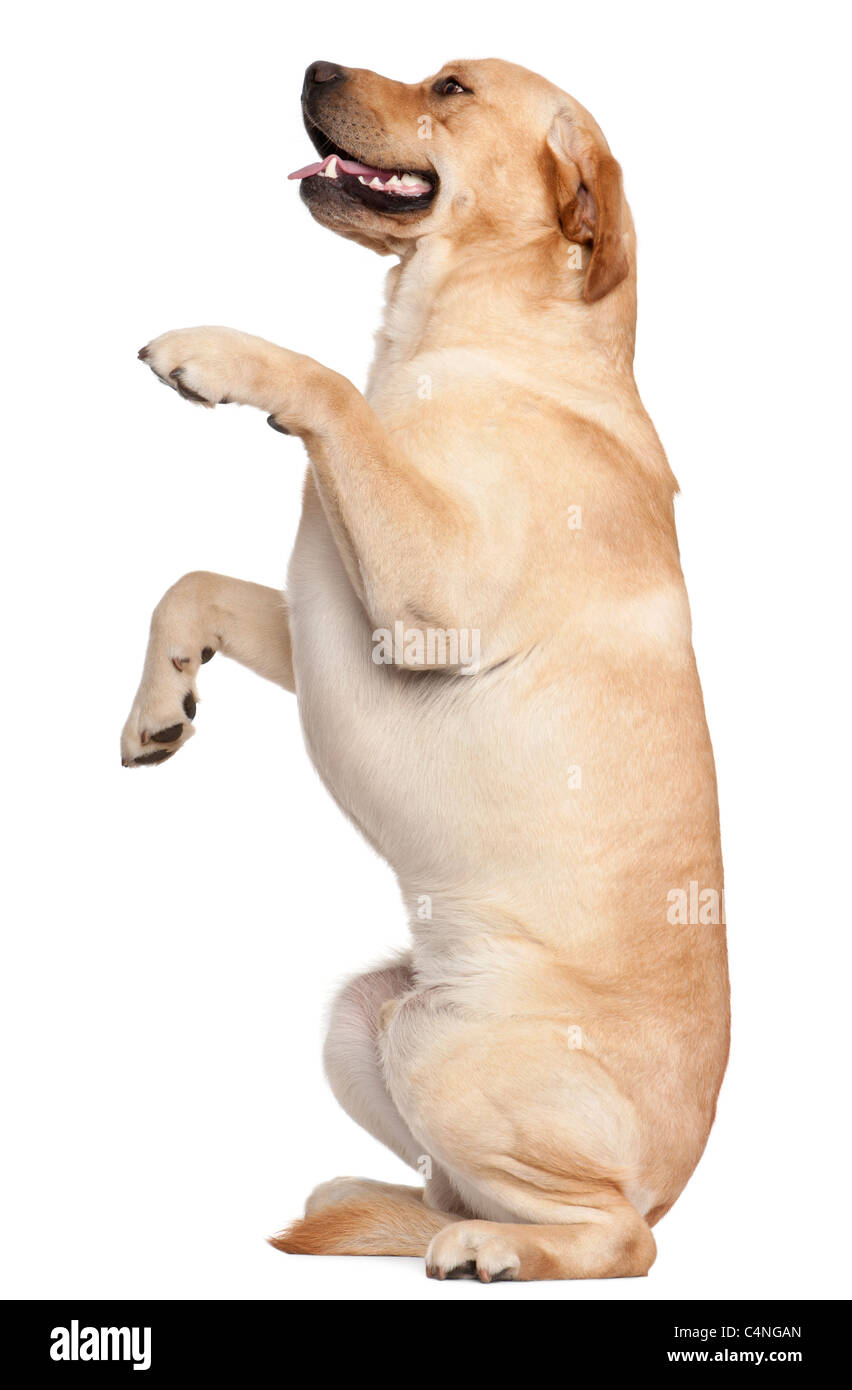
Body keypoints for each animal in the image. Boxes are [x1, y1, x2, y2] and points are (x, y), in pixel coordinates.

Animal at [123, 62, 728, 1278]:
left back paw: (490, 1249)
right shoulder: (325, 616)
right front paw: (161, 704)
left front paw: (219, 354)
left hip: (449, 1056)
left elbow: (327, 390)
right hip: (364, 1023)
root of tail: (680, 1182)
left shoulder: (430, 604)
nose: (313, 67)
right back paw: (376, 1208)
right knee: (443, 1182)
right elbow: (194, 584)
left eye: (450, 86)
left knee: (618, 1237)